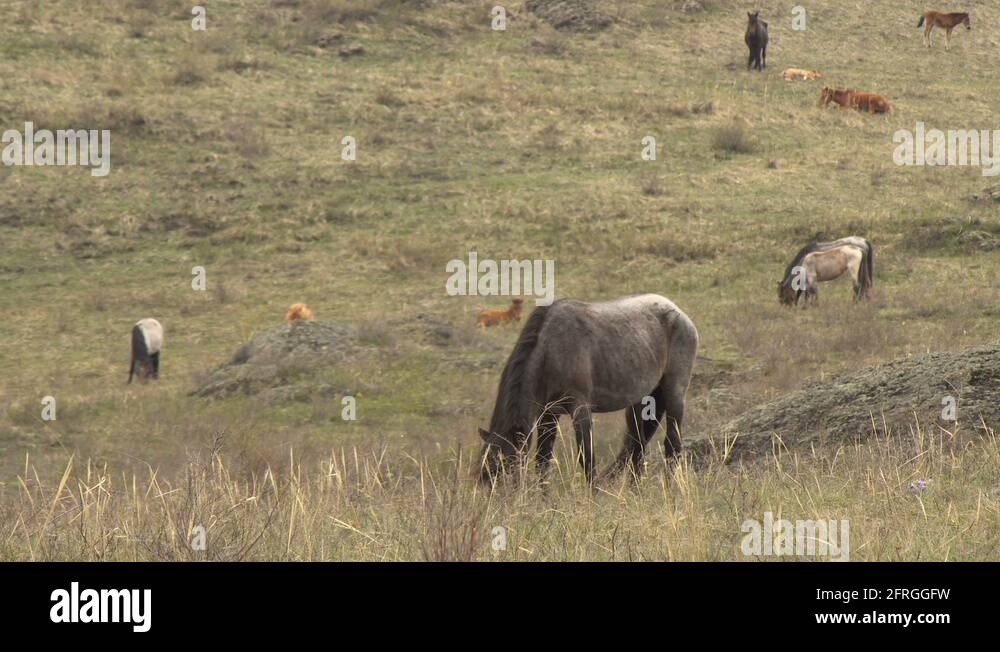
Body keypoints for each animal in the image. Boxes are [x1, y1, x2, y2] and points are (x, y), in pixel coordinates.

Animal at [477, 294, 699, 485]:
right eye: (486, 474)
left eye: (505, 468)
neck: (551, 350)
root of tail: (680, 314)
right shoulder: (548, 415)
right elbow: (542, 460)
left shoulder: (580, 410)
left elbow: (587, 458)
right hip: (640, 401)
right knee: (637, 445)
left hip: (674, 394)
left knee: (672, 445)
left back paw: (670, 490)